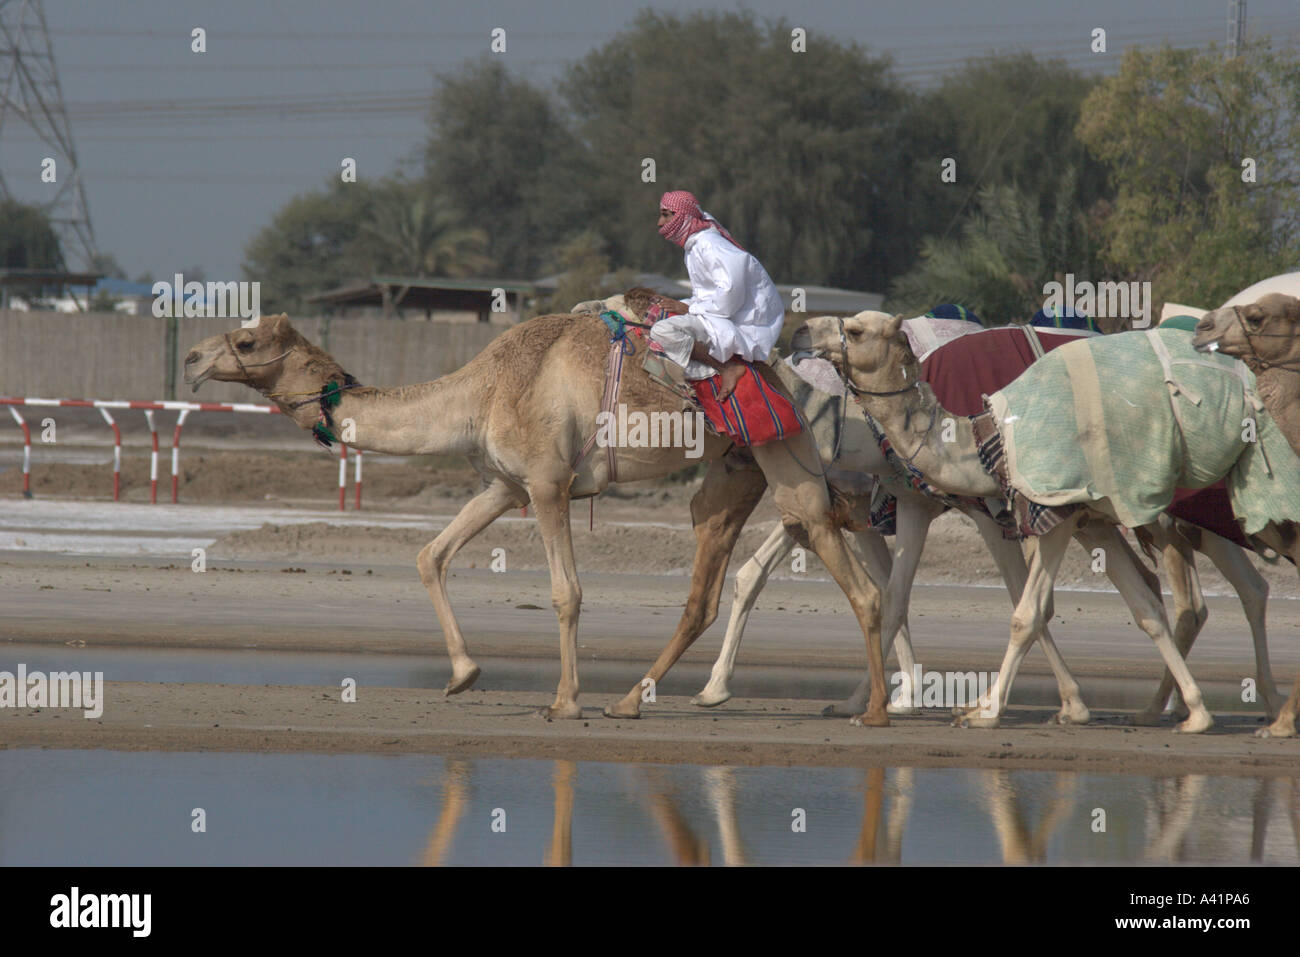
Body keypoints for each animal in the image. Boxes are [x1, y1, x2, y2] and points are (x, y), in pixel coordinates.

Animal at [183, 311, 893, 724]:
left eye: (245, 340)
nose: (190, 358)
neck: (482, 390)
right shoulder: (503, 484)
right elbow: (431, 555)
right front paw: (464, 676)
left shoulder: (549, 483)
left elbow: (565, 592)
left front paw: (563, 700)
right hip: (733, 471)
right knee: (706, 590)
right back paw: (628, 702)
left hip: (791, 453)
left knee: (851, 573)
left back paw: (877, 713)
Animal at [795, 310, 1300, 734]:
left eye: (856, 329)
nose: (801, 332)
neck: (982, 442)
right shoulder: (1089, 519)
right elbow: (1144, 611)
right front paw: (1196, 712)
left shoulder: (1041, 512)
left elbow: (1027, 610)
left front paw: (988, 711)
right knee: (1220, 595)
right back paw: (1181, 709)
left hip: (1244, 506)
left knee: (1237, 589)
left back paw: (1276, 717)